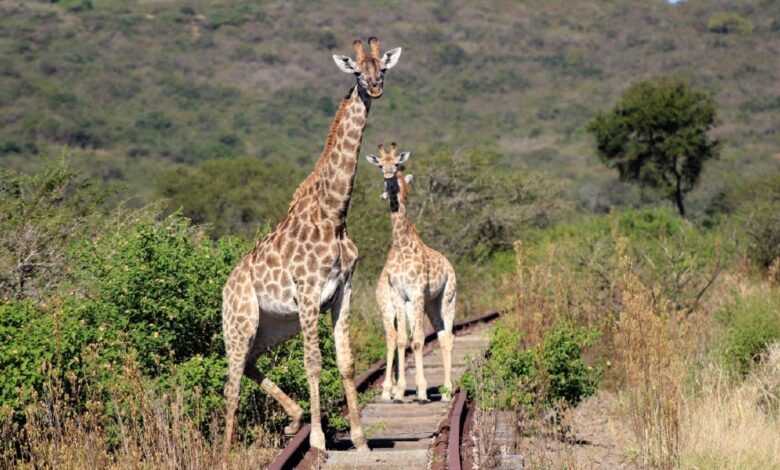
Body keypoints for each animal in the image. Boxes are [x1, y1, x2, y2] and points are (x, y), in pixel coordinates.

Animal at [221, 38, 402, 453]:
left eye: (383, 69)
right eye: (357, 72)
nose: (375, 88)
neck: (334, 214)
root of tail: (225, 286)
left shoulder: (343, 291)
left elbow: (346, 361)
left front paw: (360, 438)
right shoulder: (307, 292)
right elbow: (314, 363)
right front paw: (319, 440)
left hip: (273, 326)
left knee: (250, 364)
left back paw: (294, 419)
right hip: (239, 322)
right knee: (231, 383)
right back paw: (224, 452)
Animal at [365, 144, 457, 403]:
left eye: (397, 164)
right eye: (380, 165)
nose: (388, 178)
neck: (401, 246)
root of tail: (449, 264)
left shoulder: (415, 294)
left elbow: (417, 341)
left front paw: (422, 391)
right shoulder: (399, 296)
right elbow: (401, 340)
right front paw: (399, 392)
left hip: (447, 297)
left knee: (448, 337)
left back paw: (447, 391)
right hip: (430, 303)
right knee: (440, 334)